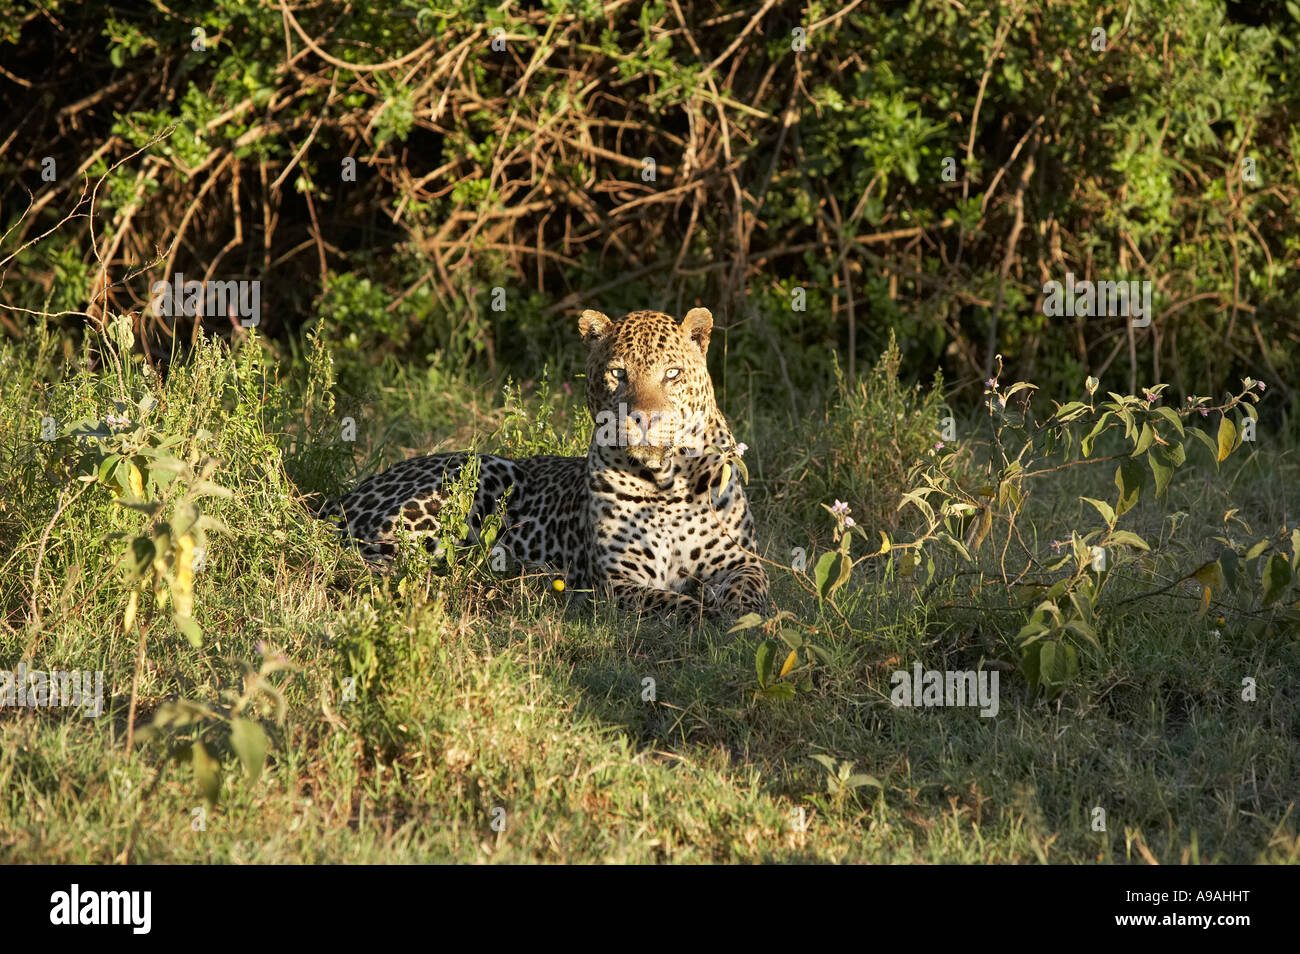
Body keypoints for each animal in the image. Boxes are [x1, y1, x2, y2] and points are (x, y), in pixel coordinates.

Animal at [318, 307, 770, 622]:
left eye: (672, 373)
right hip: (481, 472)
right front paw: (705, 611)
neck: (665, 481)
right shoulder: (618, 582)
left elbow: (752, 590)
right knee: (379, 563)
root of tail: (340, 499)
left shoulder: (742, 560)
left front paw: (738, 613)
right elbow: (672, 603)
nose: (644, 418)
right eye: (618, 373)